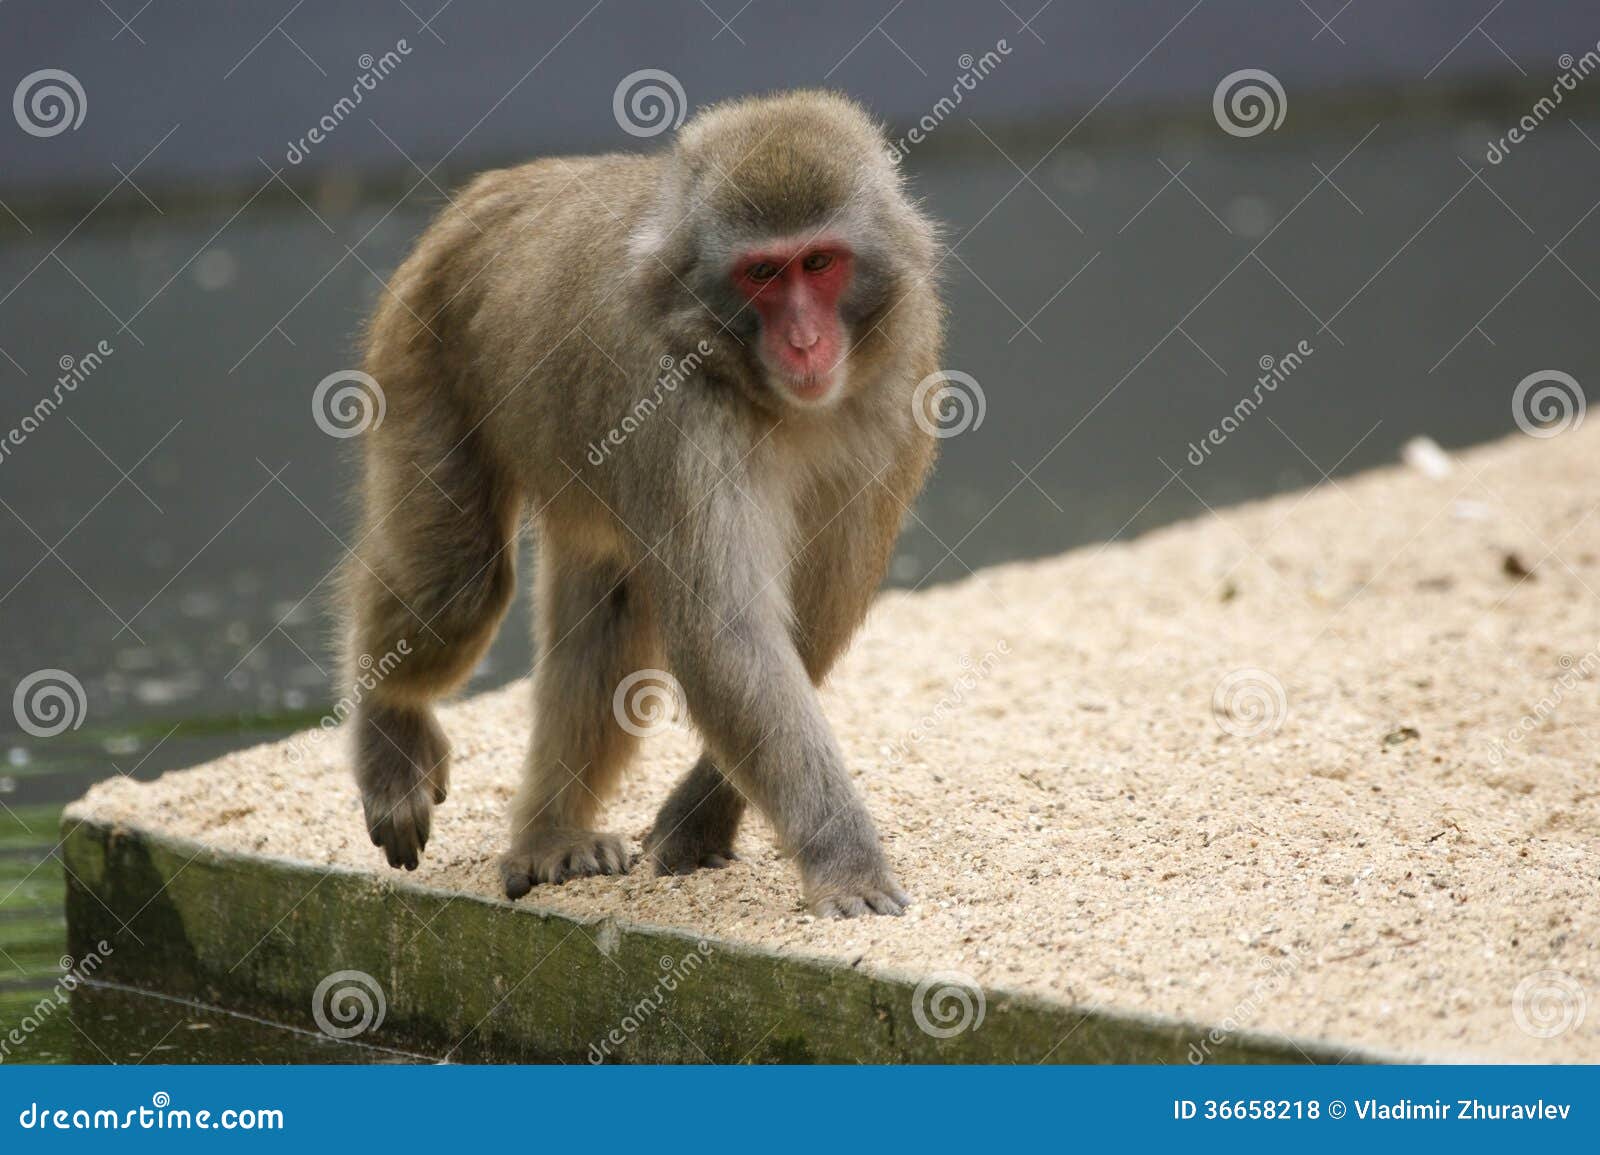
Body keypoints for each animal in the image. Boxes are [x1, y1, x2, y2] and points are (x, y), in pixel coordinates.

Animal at [340, 90, 943, 918]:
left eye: (819, 263)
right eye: (762, 273)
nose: (805, 341)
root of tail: (497, 185)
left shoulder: (902, 376)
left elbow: (813, 614)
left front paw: (697, 816)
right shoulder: (675, 402)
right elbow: (726, 633)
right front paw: (845, 861)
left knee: (609, 610)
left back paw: (548, 835)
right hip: (420, 349)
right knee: (455, 585)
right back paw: (389, 728)